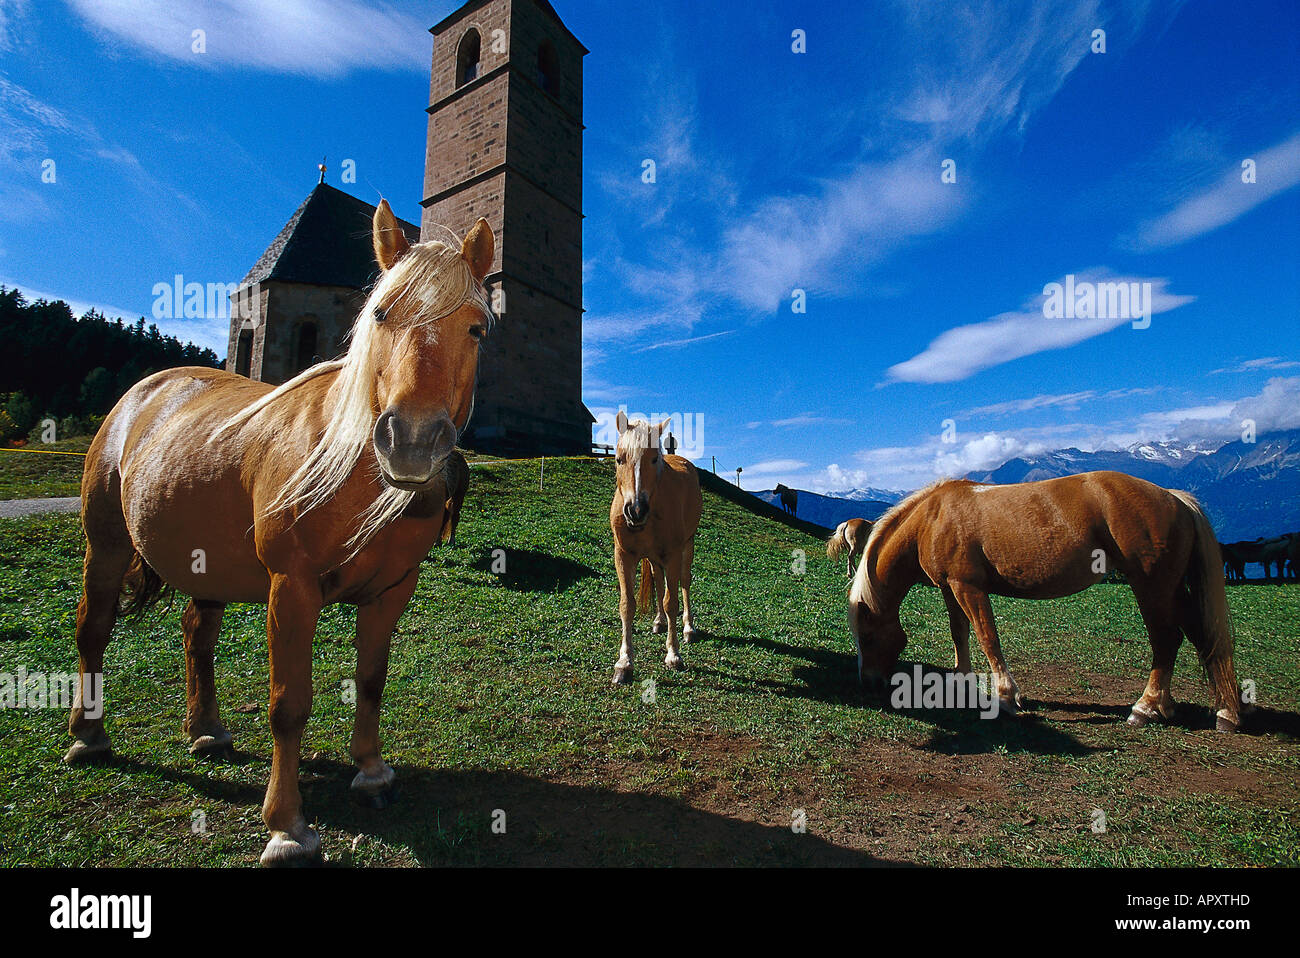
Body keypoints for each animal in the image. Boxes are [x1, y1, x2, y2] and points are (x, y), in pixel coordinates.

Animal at [64, 201, 496, 865]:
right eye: (380, 314)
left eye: (475, 329)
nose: (411, 442)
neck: (349, 472)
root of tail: (145, 391)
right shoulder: (290, 589)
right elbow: (288, 705)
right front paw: (287, 826)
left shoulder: (392, 590)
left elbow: (371, 681)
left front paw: (371, 773)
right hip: (106, 547)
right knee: (93, 629)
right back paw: (88, 736)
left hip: (205, 567)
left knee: (197, 637)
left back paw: (206, 730)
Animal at [609, 412, 702, 685]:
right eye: (619, 458)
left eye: (653, 459)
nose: (636, 510)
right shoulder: (623, 556)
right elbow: (627, 604)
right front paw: (624, 663)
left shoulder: (672, 554)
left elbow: (672, 601)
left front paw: (673, 655)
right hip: (653, 558)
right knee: (659, 582)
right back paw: (659, 621)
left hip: (687, 546)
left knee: (684, 583)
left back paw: (688, 628)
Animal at [847, 471, 1243, 732]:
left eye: (867, 637)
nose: (868, 682)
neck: (932, 518)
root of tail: (1173, 496)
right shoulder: (950, 587)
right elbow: (959, 632)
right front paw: (961, 683)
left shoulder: (969, 587)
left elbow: (988, 637)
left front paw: (1007, 697)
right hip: (1171, 589)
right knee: (1201, 637)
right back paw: (1216, 711)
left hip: (1151, 587)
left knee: (1167, 640)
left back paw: (1146, 707)